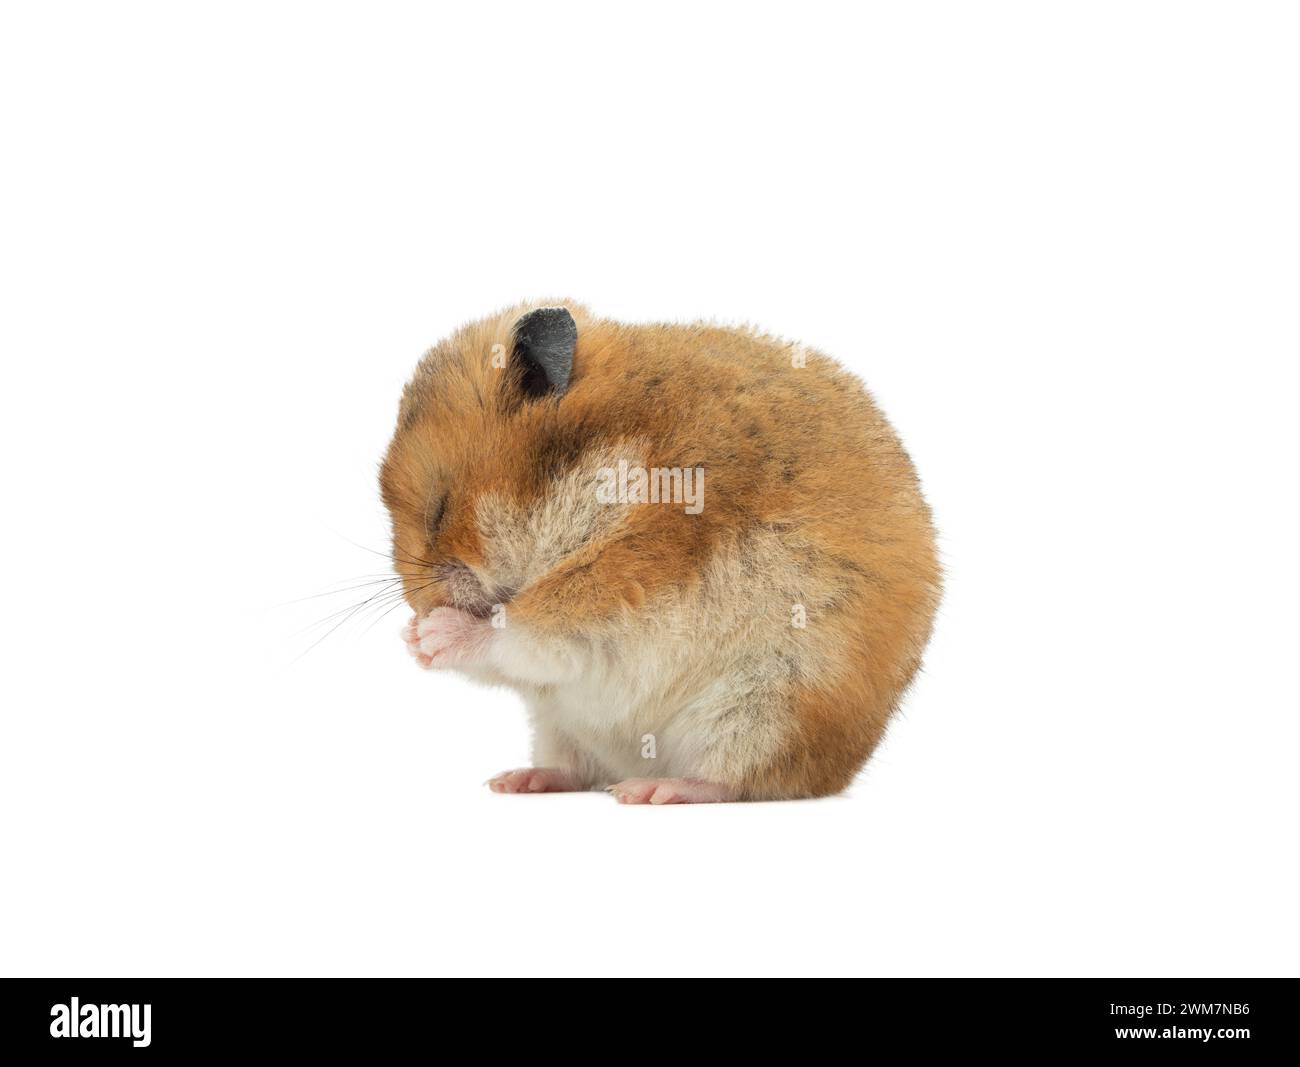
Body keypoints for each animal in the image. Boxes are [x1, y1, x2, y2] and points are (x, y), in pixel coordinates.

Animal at [380, 300, 940, 803]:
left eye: (439, 508)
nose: (419, 607)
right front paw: (413, 637)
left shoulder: (628, 575)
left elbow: (523, 629)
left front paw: (432, 634)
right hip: (559, 725)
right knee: (576, 767)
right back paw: (516, 781)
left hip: (771, 706)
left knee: (736, 779)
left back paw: (650, 790)